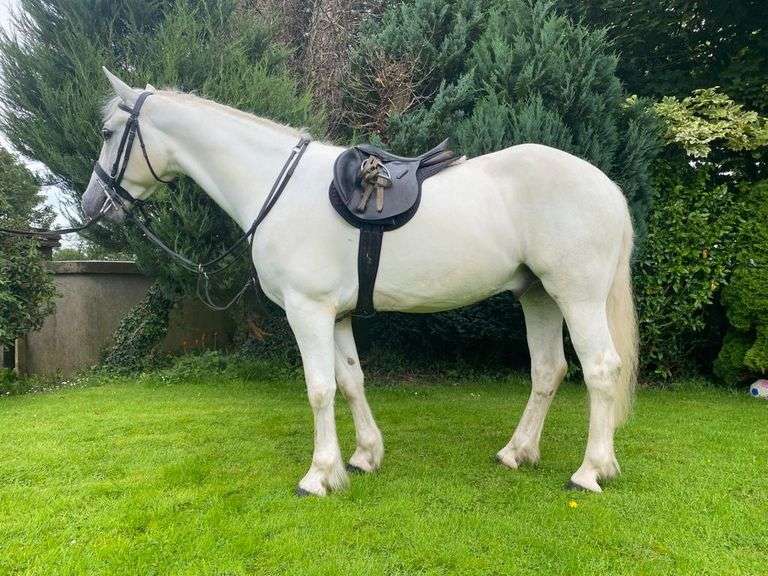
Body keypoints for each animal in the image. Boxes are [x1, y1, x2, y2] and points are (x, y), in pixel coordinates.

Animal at [81, 68, 638, 496]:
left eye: (109, 133)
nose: (91, 206)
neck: (280, 189)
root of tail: (605, 185)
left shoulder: (307, 311)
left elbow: (319, 388)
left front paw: (319, 475)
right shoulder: (337, 314)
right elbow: (350, 381)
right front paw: (365, 457)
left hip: (576, 296)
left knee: (600, 369)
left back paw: (590, 471)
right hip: (537, 295)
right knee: (548, 370)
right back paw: (517, 452)